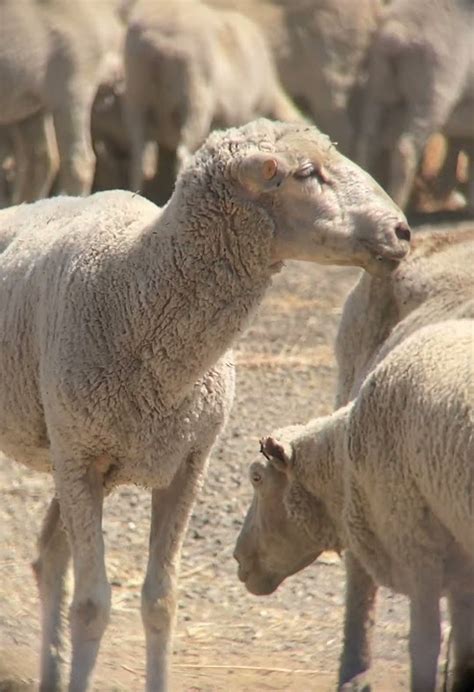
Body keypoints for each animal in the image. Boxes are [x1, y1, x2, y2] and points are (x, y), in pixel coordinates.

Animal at [0, 118, 410, 692]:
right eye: (306, 172)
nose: (403, 232)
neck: (135, 288)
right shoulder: (82, 459)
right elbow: (92, 606)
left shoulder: (185, 462)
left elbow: (160, 601)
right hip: (71, 454)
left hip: (74, 456)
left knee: (48, 557)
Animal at [124, 0, 303, 203]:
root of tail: (157, 42)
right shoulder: (241, 114)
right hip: (195, 94)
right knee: (182, 155)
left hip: (136, 92)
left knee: (138, 160)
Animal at [234, 224, 474, 692]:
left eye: (256, 478)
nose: (238, 559)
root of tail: (425, 236)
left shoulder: (421, 543)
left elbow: (428, 641)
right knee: (359, 582)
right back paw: (354, 672)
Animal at [355, 0, 474, 210]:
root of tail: (398, 30)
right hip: (432, 93)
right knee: (406, 149)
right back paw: (398, 203)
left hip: (379, 86)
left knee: (368, 140)